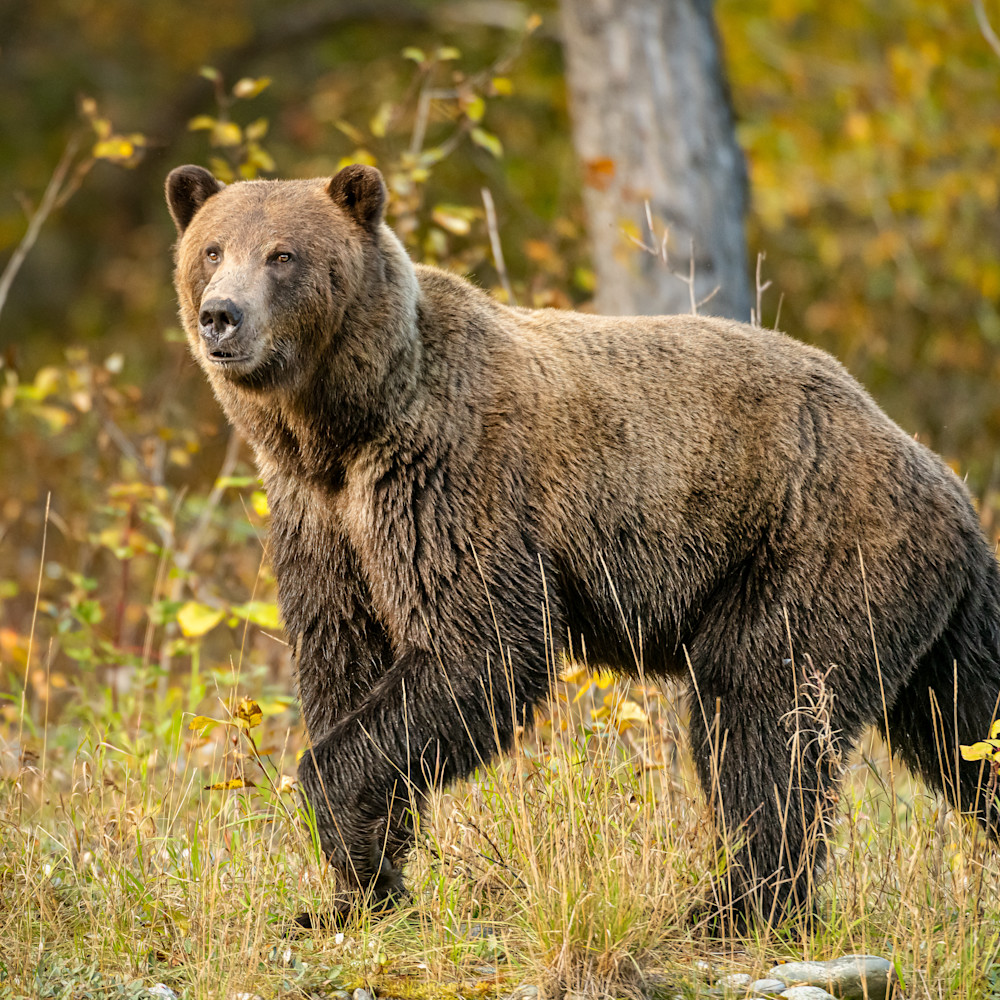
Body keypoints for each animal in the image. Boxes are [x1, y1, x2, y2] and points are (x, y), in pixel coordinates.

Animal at [166, 162, 1000, 927]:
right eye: (211, 248)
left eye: (283, 255)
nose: (221, 317)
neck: (346, 424)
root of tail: (943, 480)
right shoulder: (321, 520)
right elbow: (342, 657)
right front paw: (357, 889)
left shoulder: (450, 478)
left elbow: (481, 649)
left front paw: (349, 843)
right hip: (930, 616)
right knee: (966, 727)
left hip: (813, 551)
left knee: (763, 713)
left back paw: (733, 907)